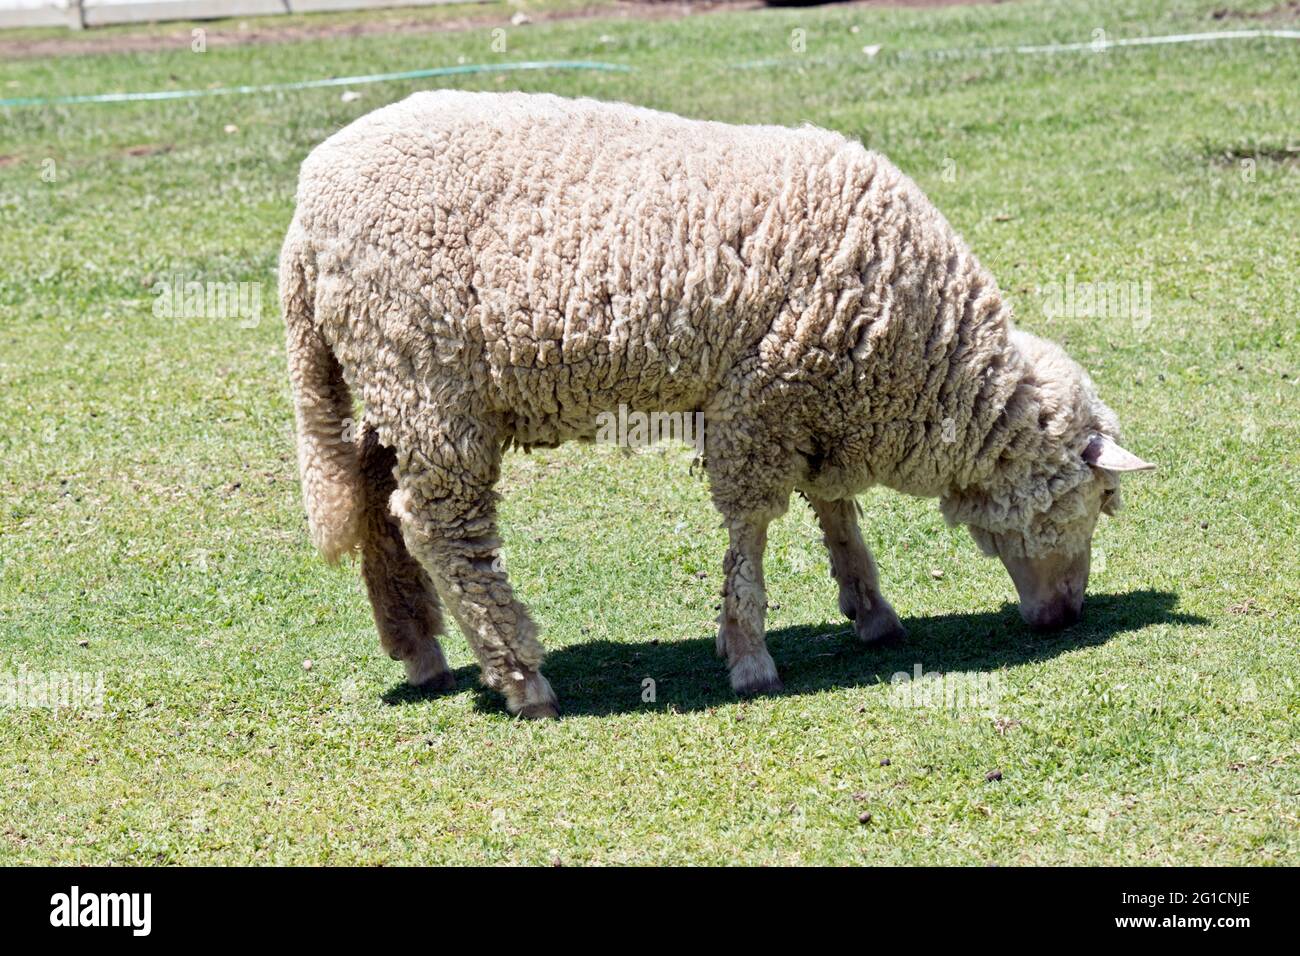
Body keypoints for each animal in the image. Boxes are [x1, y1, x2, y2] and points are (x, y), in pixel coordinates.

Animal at [279, 91, 1153, 718]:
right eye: (1091, 504)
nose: (1067, 616)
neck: (925, 355)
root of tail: (303, 218)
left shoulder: (809, 403)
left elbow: (834, 508)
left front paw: (870, 609)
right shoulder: (759, 401)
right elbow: (752, 528)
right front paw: (749, 655)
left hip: (389, 380)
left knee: (370, 493)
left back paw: (419, 648)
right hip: (429, 385)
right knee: (440, 526)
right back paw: (521, 677)